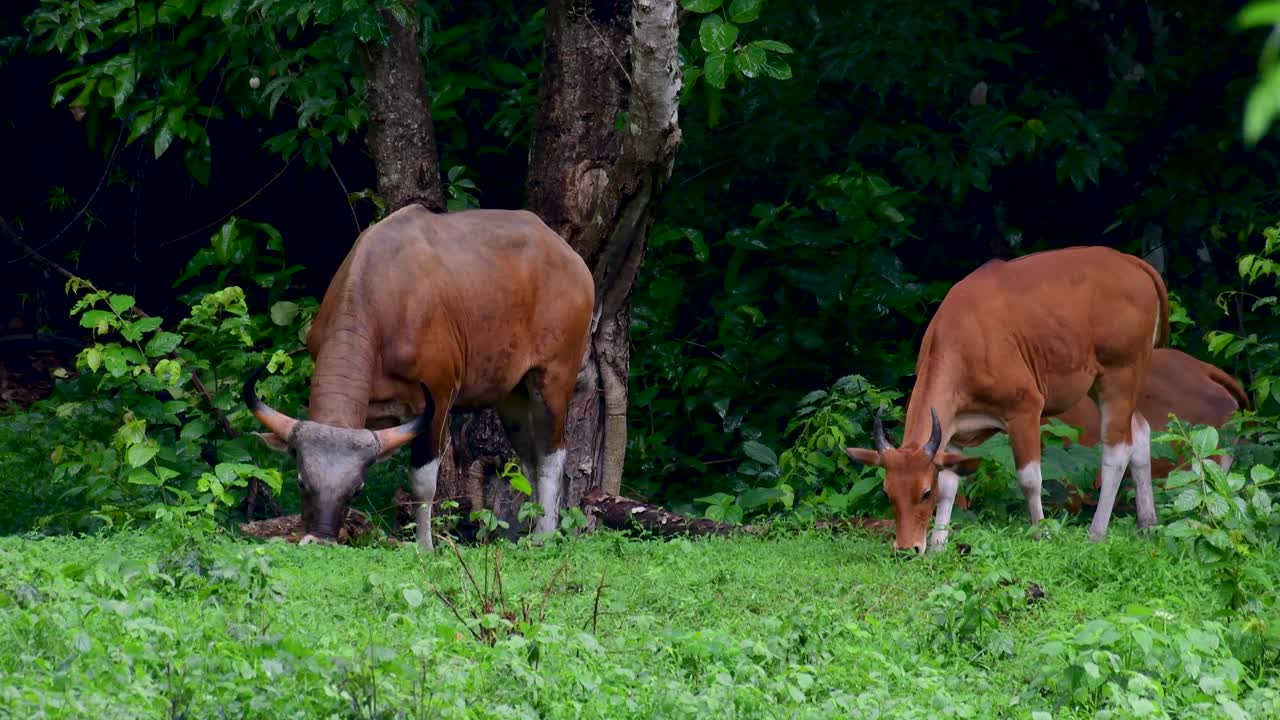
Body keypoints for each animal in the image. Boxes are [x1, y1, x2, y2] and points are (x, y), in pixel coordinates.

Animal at [244, 205, 596, 550]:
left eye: (357, 488)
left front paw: (424, 546)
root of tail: (573, 261)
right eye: (302, 481)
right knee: (529, 458)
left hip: (554, 377)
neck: (384, 298)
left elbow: (423, 481)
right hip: (513, 394)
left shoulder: (437, 399)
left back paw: (545, 536)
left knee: (552, 455)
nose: (320, 538)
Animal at [843, 246, 1169, 554]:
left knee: (1116, 450)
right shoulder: (953, 430)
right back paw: (1147, 525)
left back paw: (1097, 533)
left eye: (924, 493)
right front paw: (937, 546)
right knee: (1141, 431)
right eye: (888, 493)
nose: (907, 549)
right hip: (1105, 382)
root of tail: (1132, 262)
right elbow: (949, 485)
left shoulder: (1025, 410)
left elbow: (1030, 480)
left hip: (1120, 374)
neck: (966, 339)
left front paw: (1042, 535)